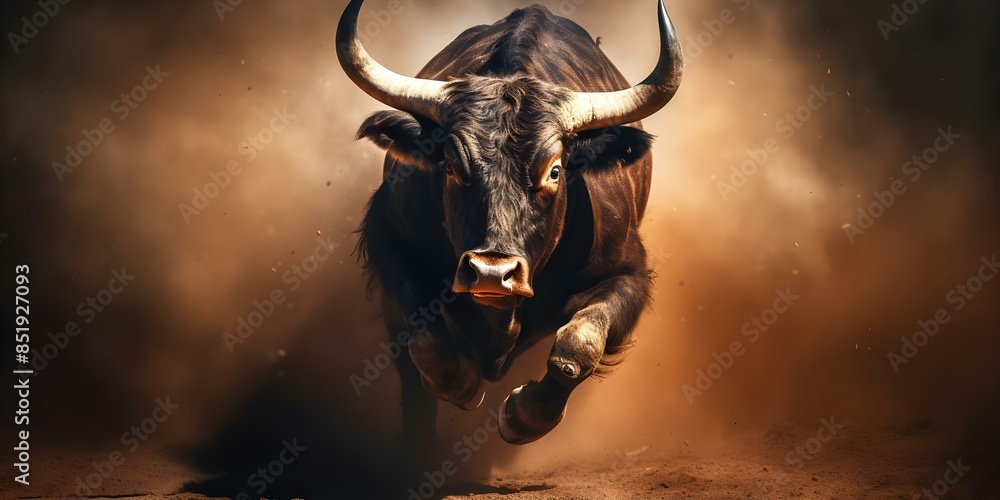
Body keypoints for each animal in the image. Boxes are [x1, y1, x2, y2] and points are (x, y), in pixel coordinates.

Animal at [337, 0, 683, 451]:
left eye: (555, 171)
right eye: (451, 164)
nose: (491, 272)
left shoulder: (629, 272)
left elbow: (582, 342)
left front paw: (525, 416)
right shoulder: (388, 238)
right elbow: (425, 339)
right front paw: (463, 385)